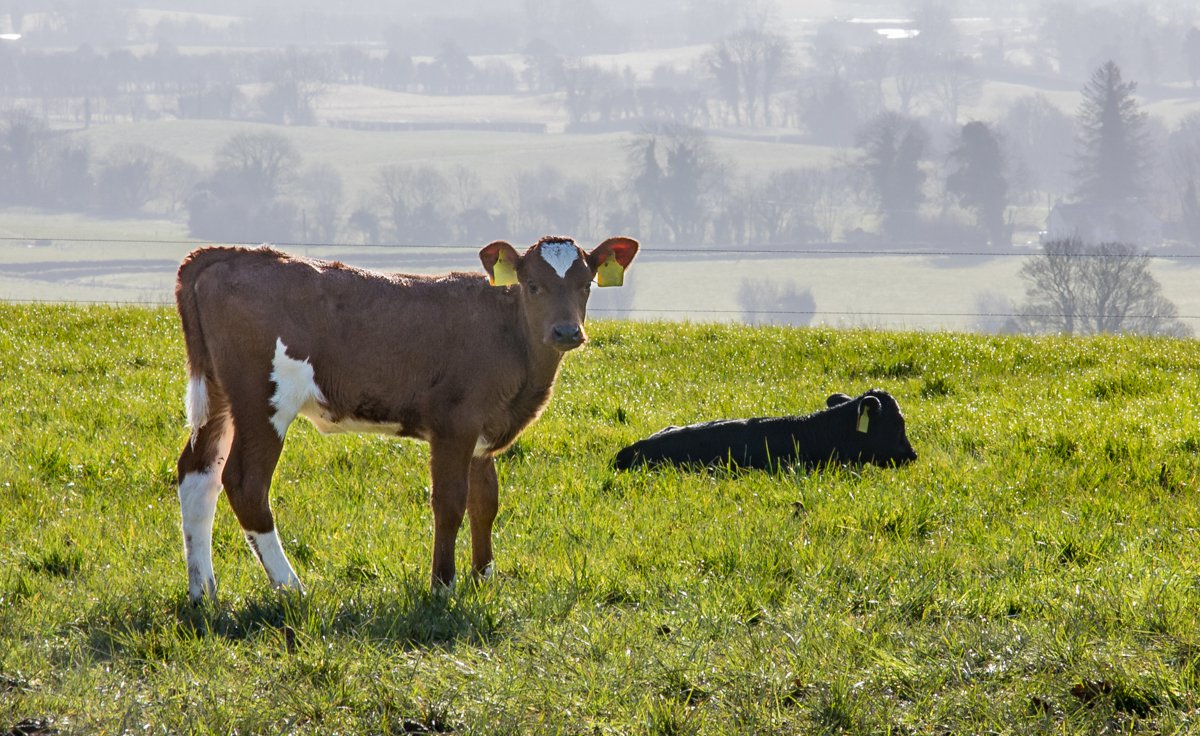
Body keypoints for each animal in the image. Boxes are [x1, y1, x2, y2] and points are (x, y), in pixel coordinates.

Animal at [174, 235, 639, 602]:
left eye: (586, 284)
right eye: (533, 284)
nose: (567, 332)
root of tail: (234, 253)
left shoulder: (483, 434)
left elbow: (485, 503)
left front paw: (484, 578)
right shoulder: (455, 426)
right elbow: (450, 502)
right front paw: (443, 586)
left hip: (219, 398)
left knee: (198, 476)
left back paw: (203, 592)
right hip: (263, 402)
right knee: (245, 483)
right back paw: (292, 588)